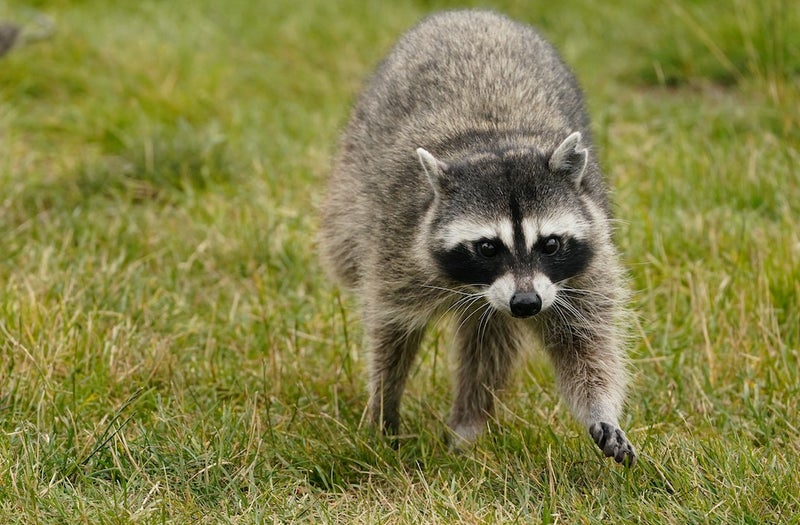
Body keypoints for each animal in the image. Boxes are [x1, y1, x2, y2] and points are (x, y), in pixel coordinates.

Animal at [319, 9, 636, 465]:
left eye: (550, 244)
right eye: (488, 247)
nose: (526, 303)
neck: (495, 139)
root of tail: (470, 12)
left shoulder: (586, 261)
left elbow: (585, 341)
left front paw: (601, 409)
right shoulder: (397, 242)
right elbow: (392, 330)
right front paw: (383, 407)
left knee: (491, 342)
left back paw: (468, 425)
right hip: (351, 177)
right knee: (344, 249)